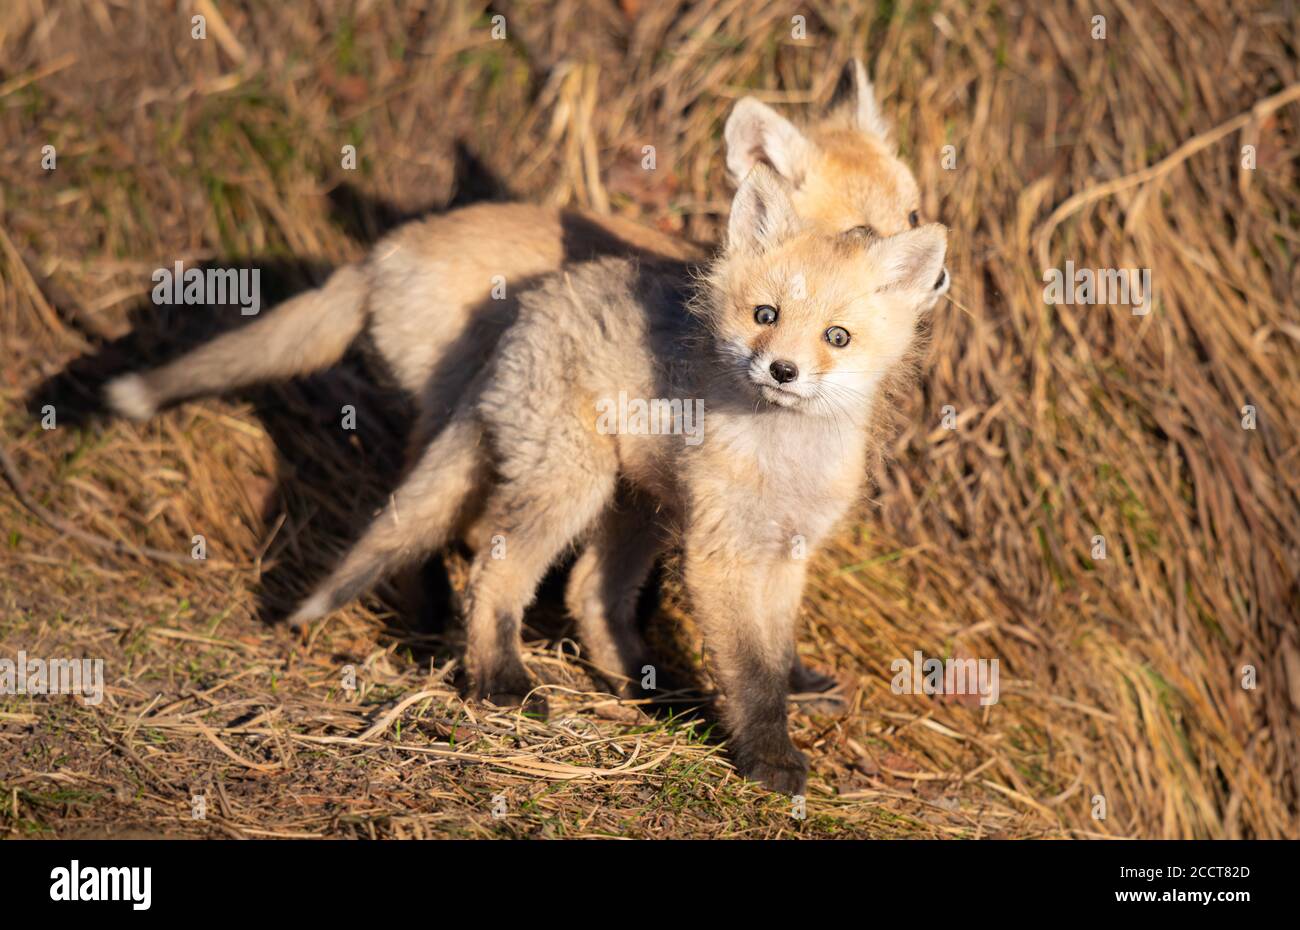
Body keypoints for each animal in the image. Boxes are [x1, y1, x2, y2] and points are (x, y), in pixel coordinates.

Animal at [104, 60, 949, 695]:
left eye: (912, 214)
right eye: (861, 232)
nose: (937, 280)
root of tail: (385, 250)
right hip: (494, 425)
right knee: (435, 516)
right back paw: (442, 624)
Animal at [298, 162, 947, 793]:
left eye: (837, 337)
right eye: (766, 314)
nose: (782, 370)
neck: (785, 456)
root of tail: (535, 304)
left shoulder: (788, 549)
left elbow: (777, 647)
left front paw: (794, 689)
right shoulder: (721, 553)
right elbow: (752, 673)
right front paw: (770, 759)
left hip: (637, 507)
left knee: (588, 589)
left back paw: (642, 686)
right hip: (571, 486)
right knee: (493, 576)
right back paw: (502, 683)